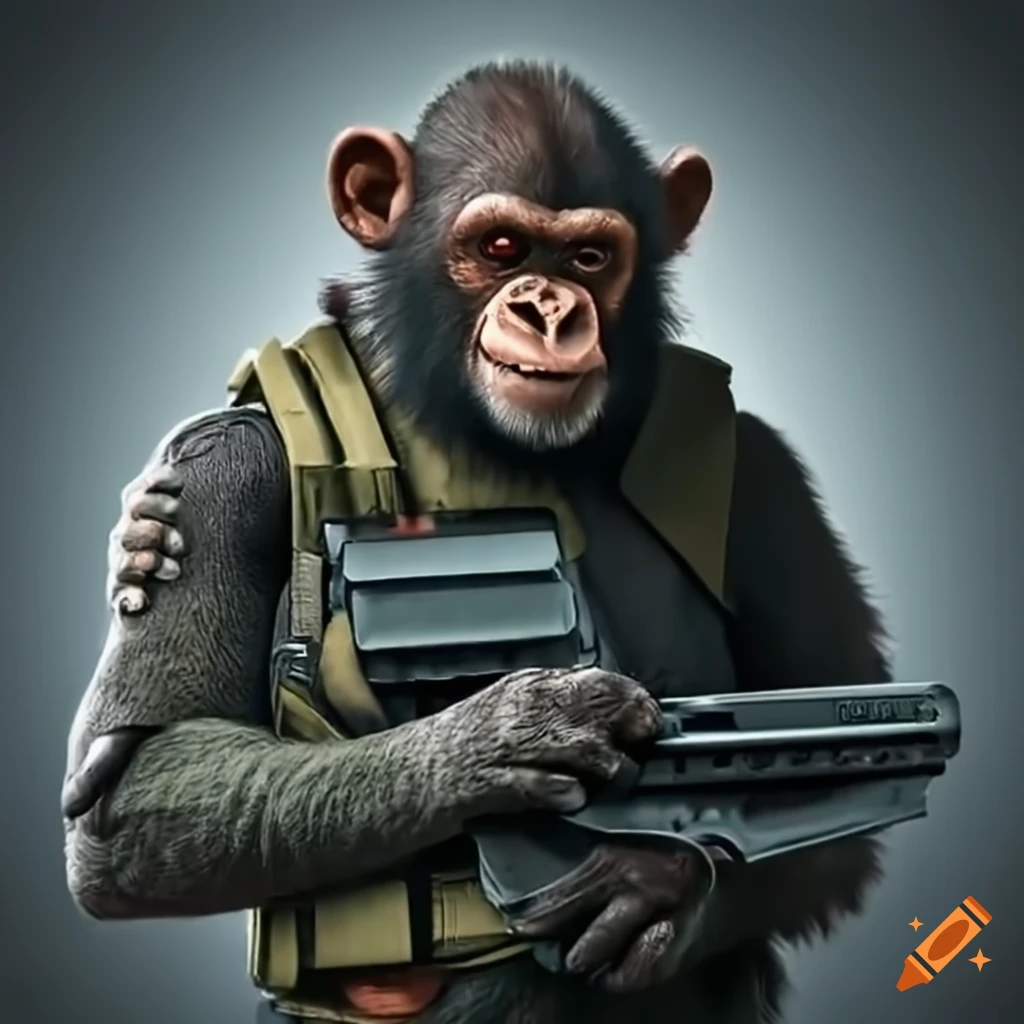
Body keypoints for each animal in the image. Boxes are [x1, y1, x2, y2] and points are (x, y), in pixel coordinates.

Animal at [63, 62, 891, 1024]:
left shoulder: (765, 477)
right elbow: (138, 781)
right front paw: (507, 737)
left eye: (590, 258)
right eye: (500, 247)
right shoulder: (219, 465)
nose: (549, 309)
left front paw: (658, 887)